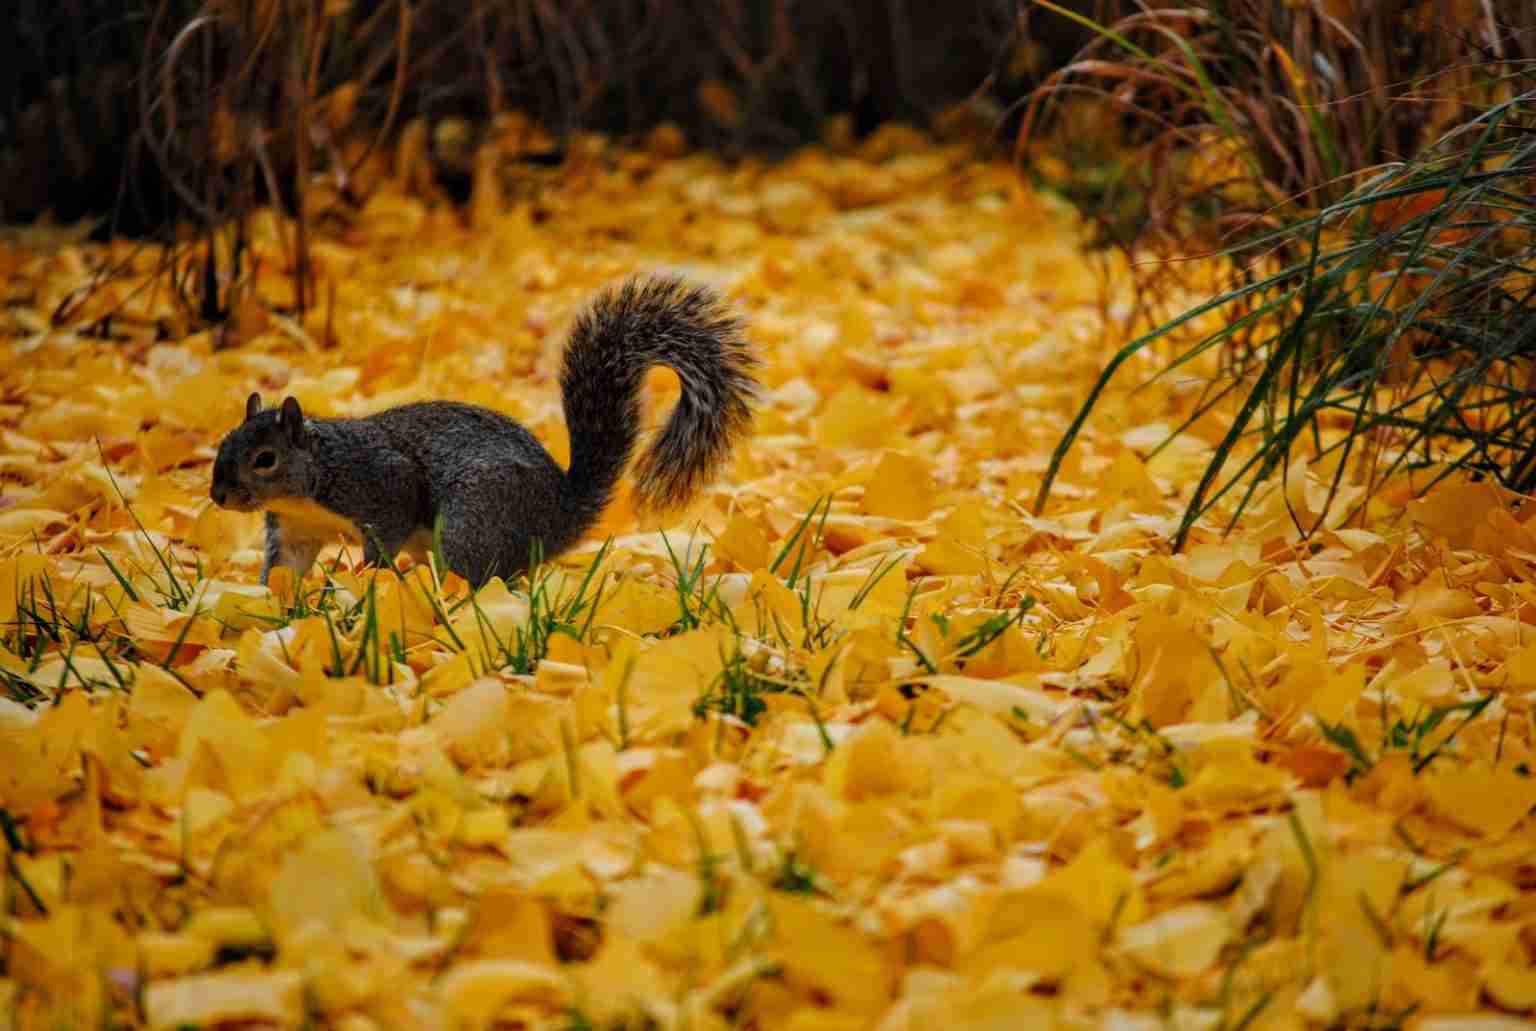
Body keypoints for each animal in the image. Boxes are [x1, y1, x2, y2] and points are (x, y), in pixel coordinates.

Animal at [209, 274, 759, 588]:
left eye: (264, 459)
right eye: (222, 446)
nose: (218, 497)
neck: (313, 476)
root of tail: (559, 514)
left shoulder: (380, 483)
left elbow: (385, 532)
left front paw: (369, 583)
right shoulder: (295, 529)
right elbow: (285, 568)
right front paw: (270, 604)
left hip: (473, 519)